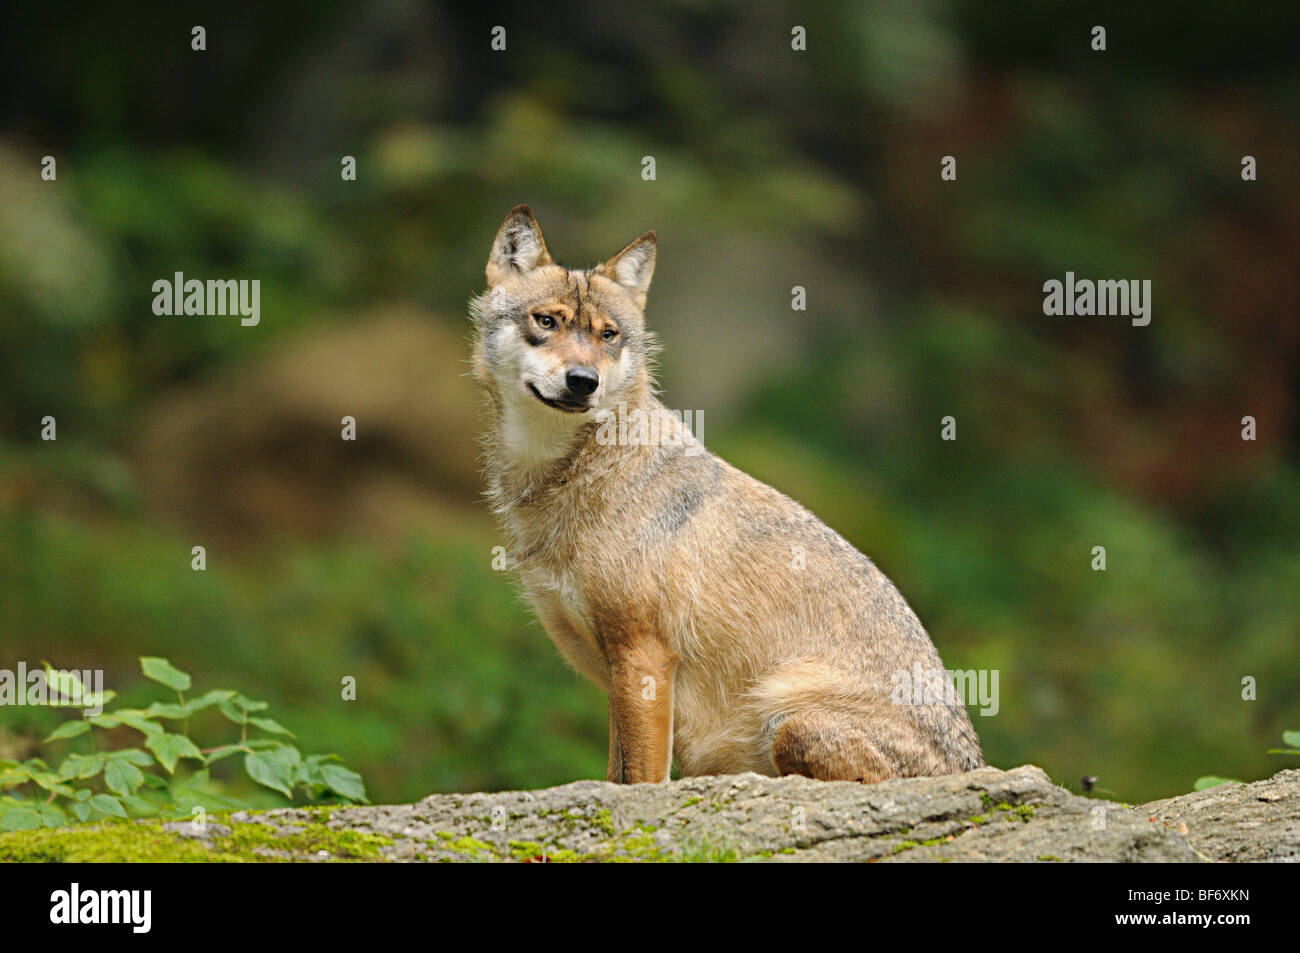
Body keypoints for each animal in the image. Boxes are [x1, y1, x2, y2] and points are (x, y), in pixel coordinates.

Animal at [471, 205, 984, 783]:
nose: (583, 381)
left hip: (787, 719)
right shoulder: (617, 673)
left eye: (608, 335)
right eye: (547, 322)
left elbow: (642, 780)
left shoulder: (644, 659)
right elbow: (617, 777)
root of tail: (973, 765)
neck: (573, 474)